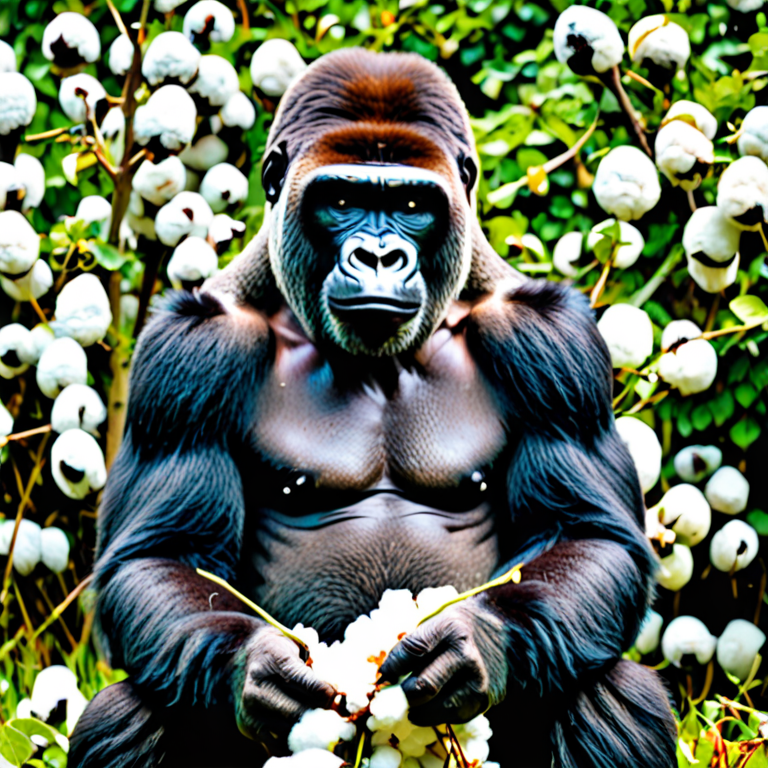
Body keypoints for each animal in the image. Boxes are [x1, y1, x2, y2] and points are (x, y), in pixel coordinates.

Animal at [69, 49, 677, 768]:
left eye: (412, 204)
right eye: (342, 200)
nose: (379, 256)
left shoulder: (553, 342)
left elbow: (586, 534)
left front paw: (475, 641)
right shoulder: (187, 352)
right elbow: (163, 554)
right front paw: (257, 668)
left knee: (610, 689)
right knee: (128, 709)